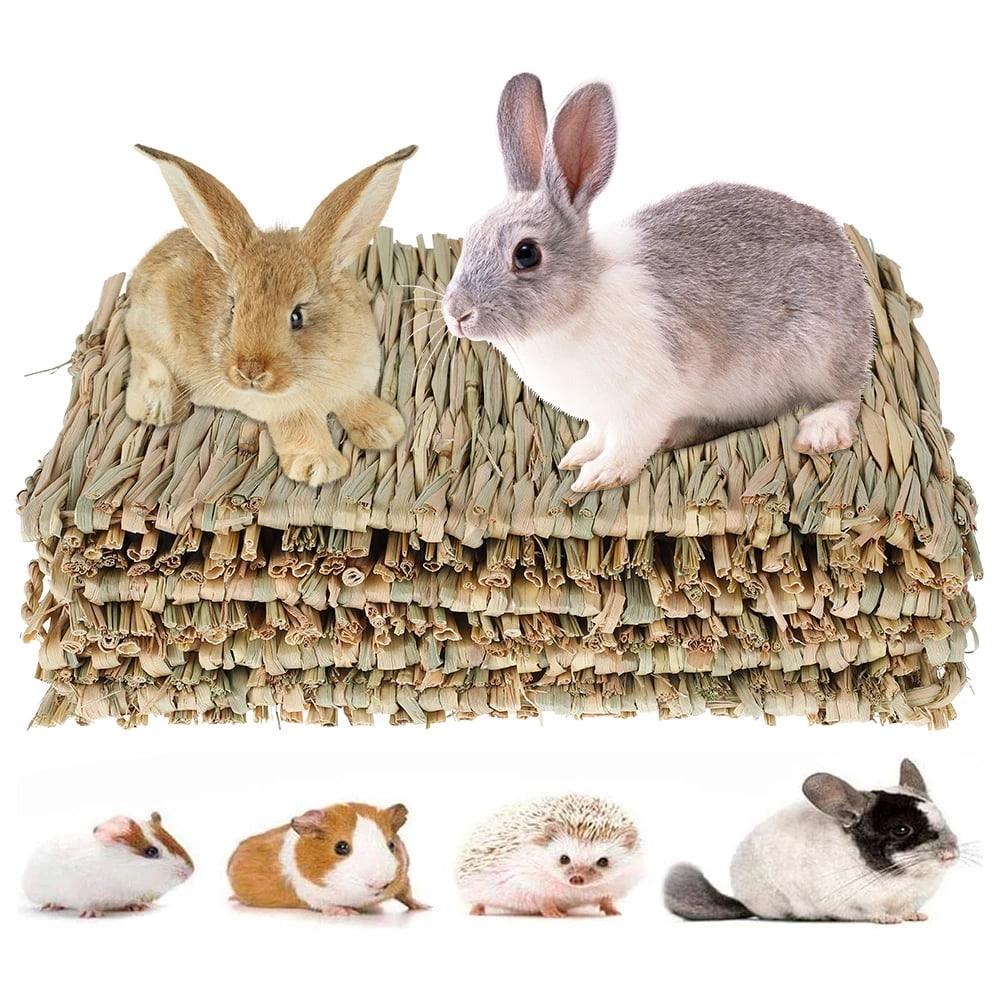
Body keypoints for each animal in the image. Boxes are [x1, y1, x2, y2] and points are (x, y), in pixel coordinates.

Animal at [124, 143, 415, 486]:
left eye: (297, 316)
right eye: (233, 308)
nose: (249, 372)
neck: (318, 365)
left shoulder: (354, 386)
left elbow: (357, 404)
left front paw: (385, 428)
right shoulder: (288, 410)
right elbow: (301, 428)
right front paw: (318, 466)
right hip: (152, 326)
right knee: (145, 355)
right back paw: (156, 407)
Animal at [441, 74, 875, 492]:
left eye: (526, 253)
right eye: (471, 235)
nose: (457, 314)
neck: (580, 303)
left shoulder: (643, 403)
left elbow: (628, 445)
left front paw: (600, 476)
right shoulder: (604, 414)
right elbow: (598, 435)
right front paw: (577, 455)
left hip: (823, 354)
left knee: (848, 396)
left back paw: (821, 431)